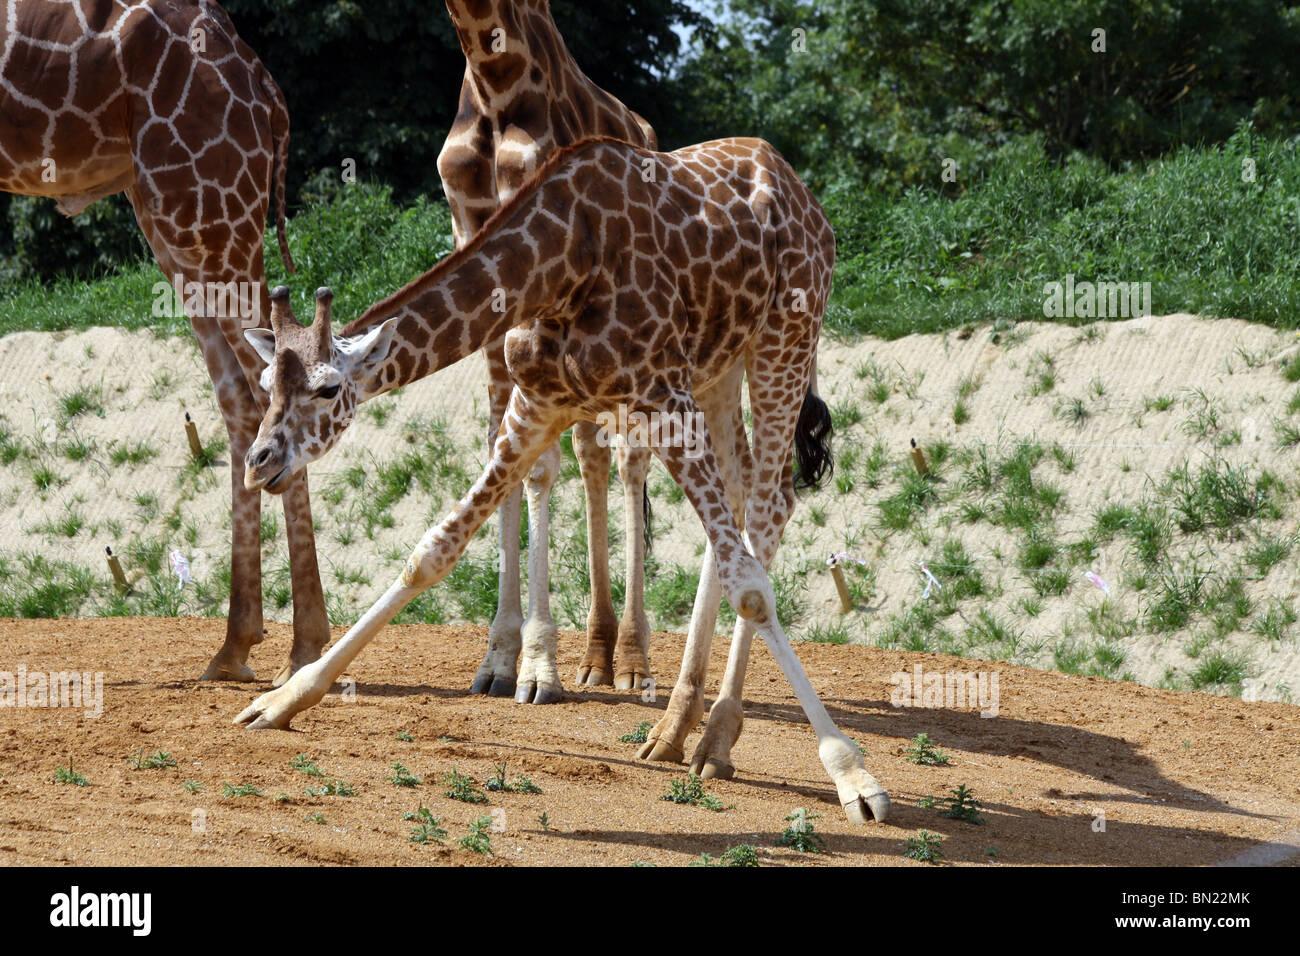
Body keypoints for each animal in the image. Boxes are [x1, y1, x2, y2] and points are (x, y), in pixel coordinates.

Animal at [0, 0, 330, 684]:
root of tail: (266, 91)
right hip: (169, 206)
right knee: (241, 398)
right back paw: (236, 648)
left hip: (204, 201)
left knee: (273, 376)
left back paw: (305, 649)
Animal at [233, 136, 891, 824]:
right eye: (265, 382)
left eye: (328, 388)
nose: (260, 463)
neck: (563, 262)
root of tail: (804, 196)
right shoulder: (539, 401)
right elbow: (432, 552)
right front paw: (281, 701)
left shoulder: (662, 394)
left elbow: (754, 588)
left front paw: (853, 774)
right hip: (720, 365)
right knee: (739, 503)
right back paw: (676, 729)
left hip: (784, 341)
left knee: (769, 507)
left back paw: (716, 737)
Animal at [436, 0, 657, 703]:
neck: (494, 78)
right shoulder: (475, 239)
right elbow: (502, 449)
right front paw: (498, 661)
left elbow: (533, 464)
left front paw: (537, 667)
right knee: (593, 453)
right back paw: (600, 657)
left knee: (632, 458)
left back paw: (635, 662)